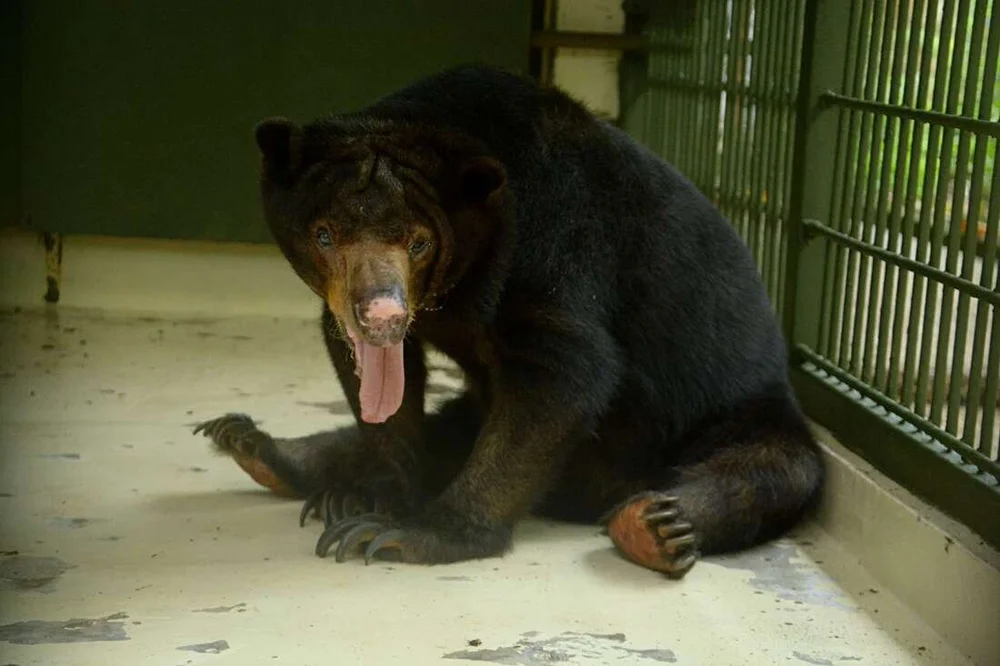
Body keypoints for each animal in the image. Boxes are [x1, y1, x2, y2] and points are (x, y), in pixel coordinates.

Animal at [194, 64, 824, 579]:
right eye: (325, 235)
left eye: (419, 242)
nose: (382, 315)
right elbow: (380, 389)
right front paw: (373, 498)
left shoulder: (555, 245)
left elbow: (564, 371)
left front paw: (407, 533)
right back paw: (256, 447)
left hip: (739, 414)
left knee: (770, 471)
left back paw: (654, 526)